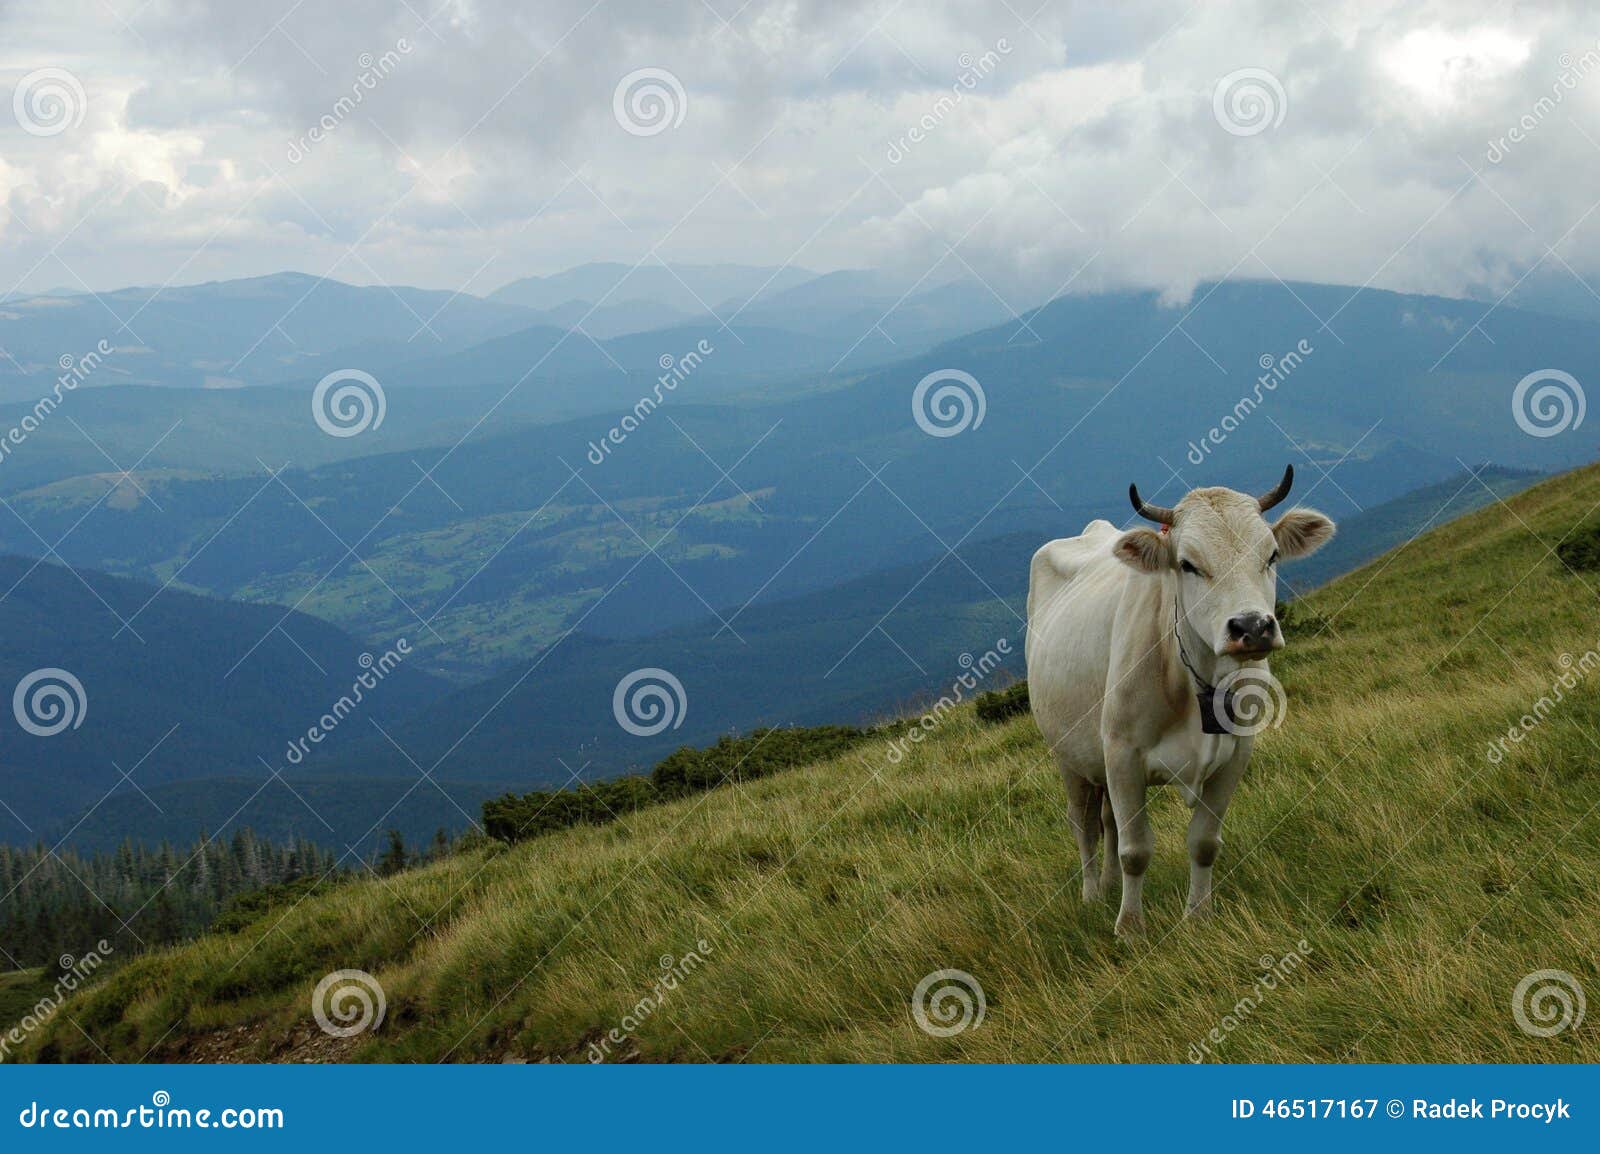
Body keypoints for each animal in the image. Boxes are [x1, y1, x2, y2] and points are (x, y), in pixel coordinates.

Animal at [1025, 466, 1334, 936]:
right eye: (1188, 564)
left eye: (1272, 554)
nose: (1252, 627)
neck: (1200, 681)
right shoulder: (1123, 756)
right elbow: (1136, 850)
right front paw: (1130, 928)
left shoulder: (1236, 756)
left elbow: (1203, 842)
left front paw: (1198, 916)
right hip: (1067, 755)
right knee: (1085, 826)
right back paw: (1093, 895)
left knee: (1108, 821)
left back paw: (1110, 885)